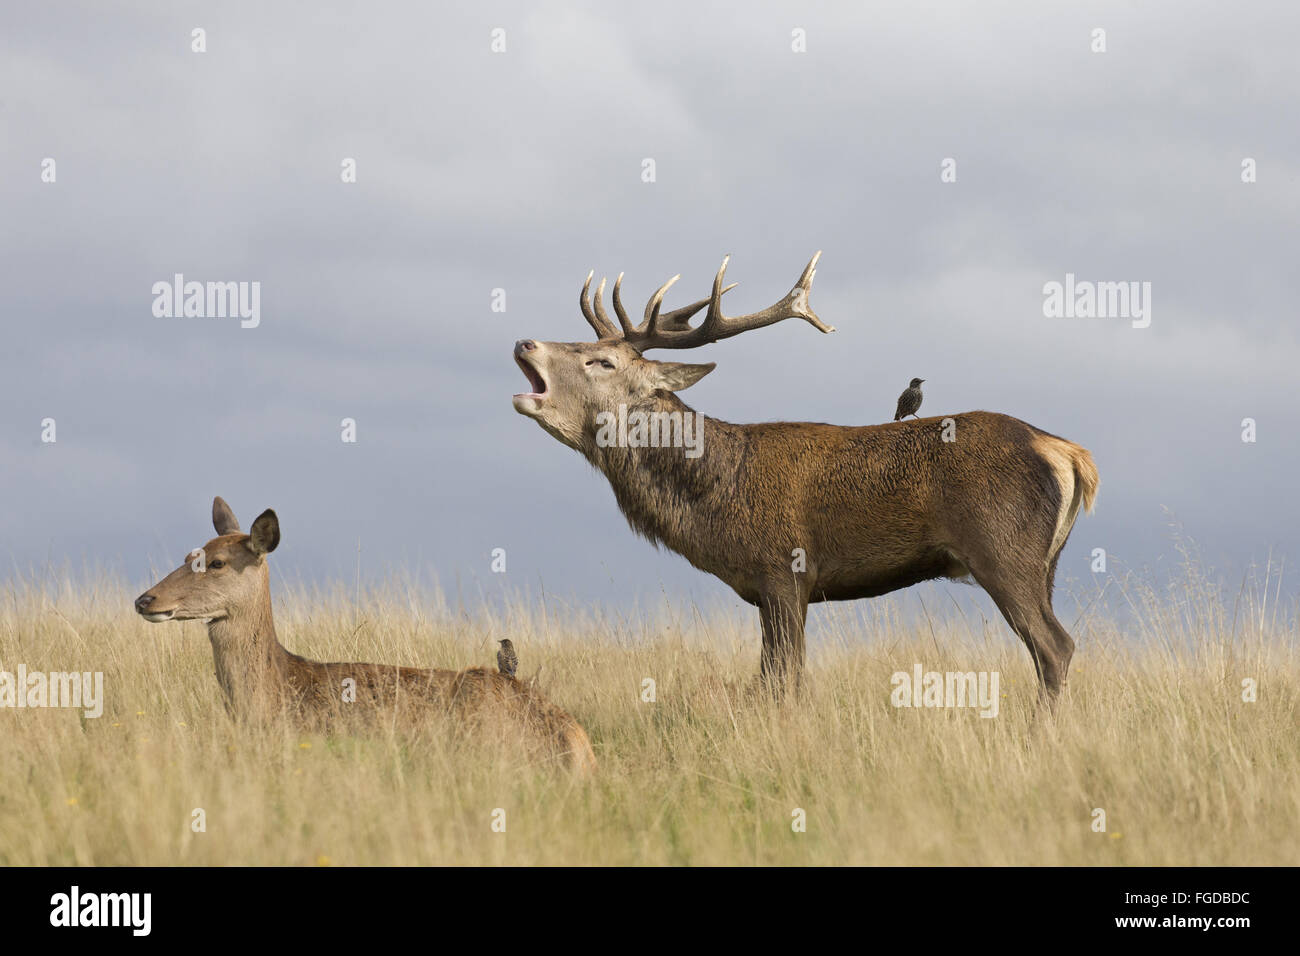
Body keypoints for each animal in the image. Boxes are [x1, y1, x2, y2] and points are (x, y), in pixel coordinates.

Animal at [511, 252, 1099, 706]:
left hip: (1003, 548)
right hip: (1045, 563)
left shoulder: (785, 570)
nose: (524, 343)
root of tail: (1067, 452)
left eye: (601, 362)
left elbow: (783, 680)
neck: (717, 497)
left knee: (1055, 647)